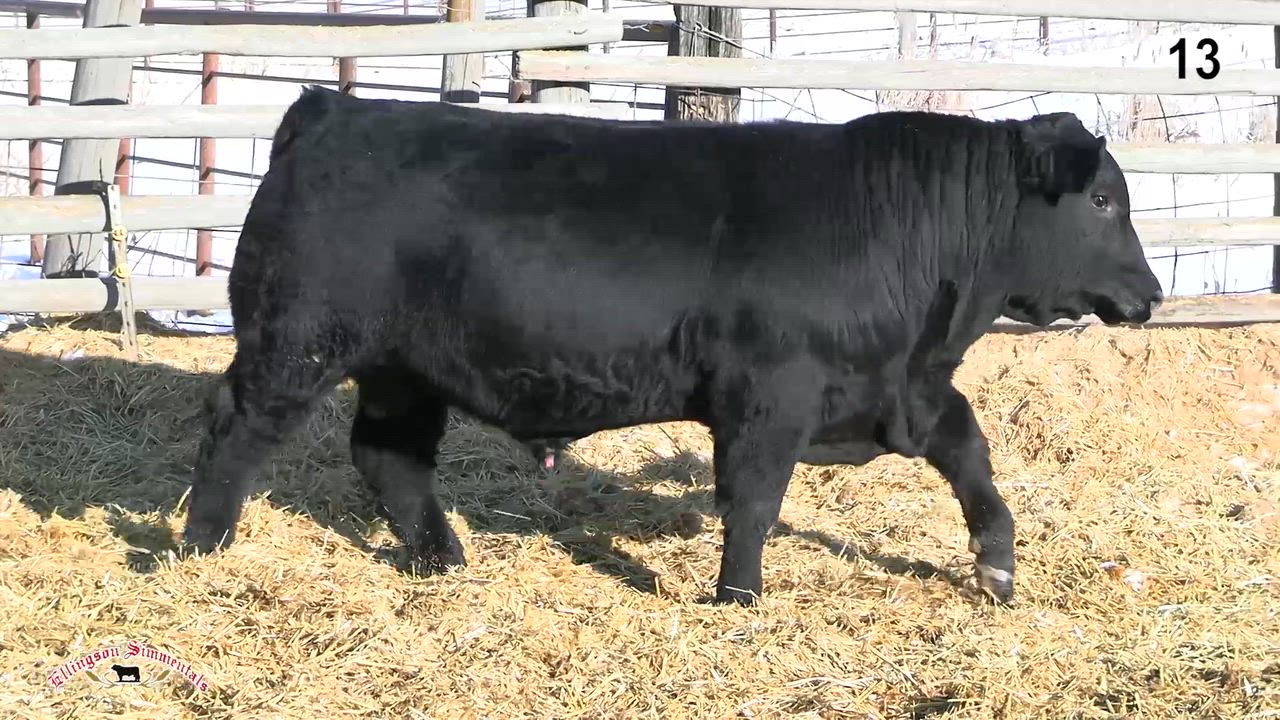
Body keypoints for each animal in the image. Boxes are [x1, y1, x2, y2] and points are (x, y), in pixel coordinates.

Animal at [181, 85, 1163, 607]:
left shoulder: (901, 388)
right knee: (235, 427)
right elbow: (755, 499)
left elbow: (970, 452)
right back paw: (198, 546)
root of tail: (334, 109)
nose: (1151, 295)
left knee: (387, 456)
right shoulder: (769, 397)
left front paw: (997, 564)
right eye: (1103, 200)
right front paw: (739, 596)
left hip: (402, 369)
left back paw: (444, 559)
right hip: (297, 342)